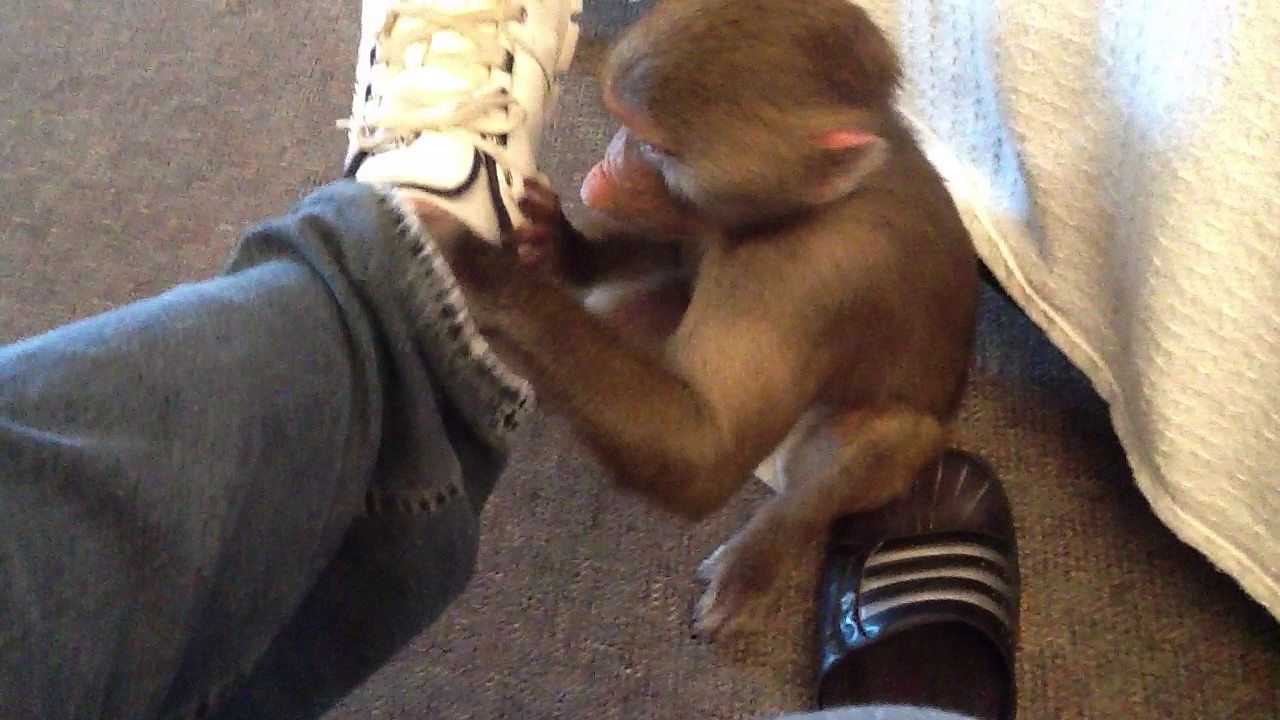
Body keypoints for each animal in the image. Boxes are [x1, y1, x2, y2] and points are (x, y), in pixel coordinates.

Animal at [436, 0, 980, 640]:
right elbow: (667, 254)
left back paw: (769, 545)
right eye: (624, 126)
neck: (799, 210)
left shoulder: (807, 273)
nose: (611, 159)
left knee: (881, 437)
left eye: (655, 147)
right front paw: (562, 247)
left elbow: (707, 454)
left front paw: (470, 265)